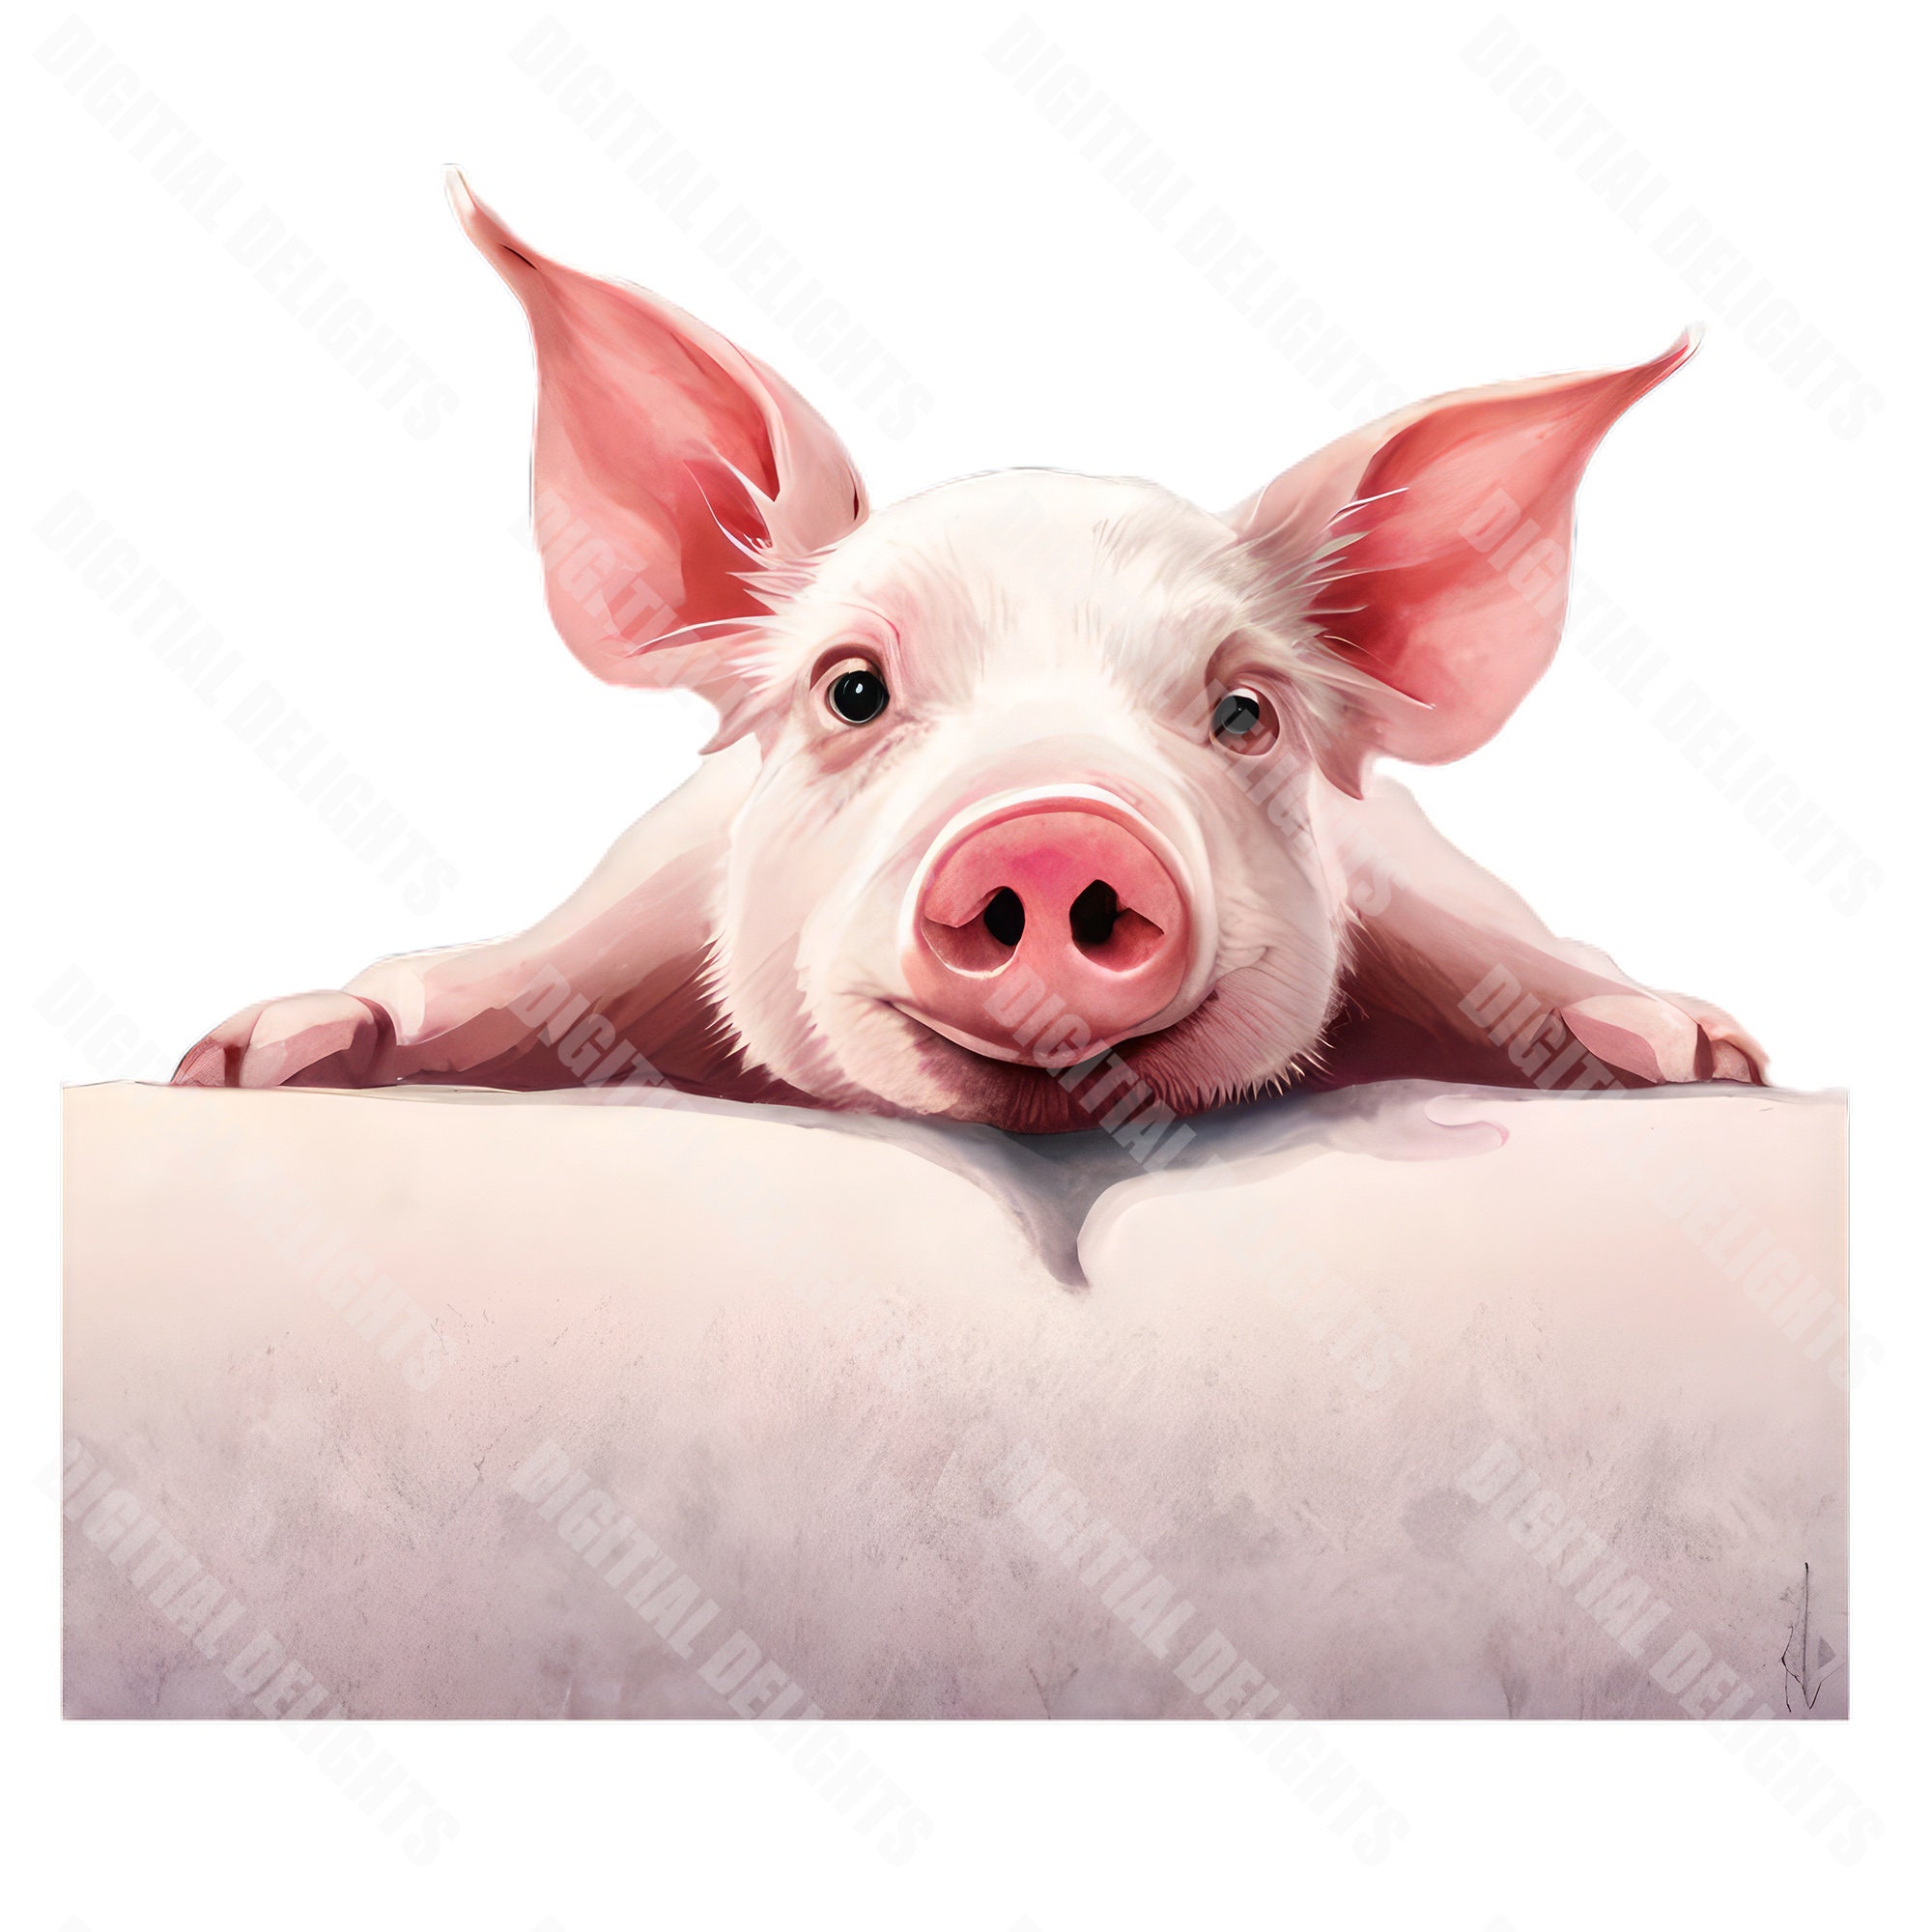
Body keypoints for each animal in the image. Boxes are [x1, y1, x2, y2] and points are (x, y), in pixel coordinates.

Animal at [175, 174, 1765, 1134]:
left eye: (1244, 712)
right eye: (852, 687)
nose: (1059, 832)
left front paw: (1709, 1064)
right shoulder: (639, 896)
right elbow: (499, 974)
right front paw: (244, 1062)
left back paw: (1697, 1049)